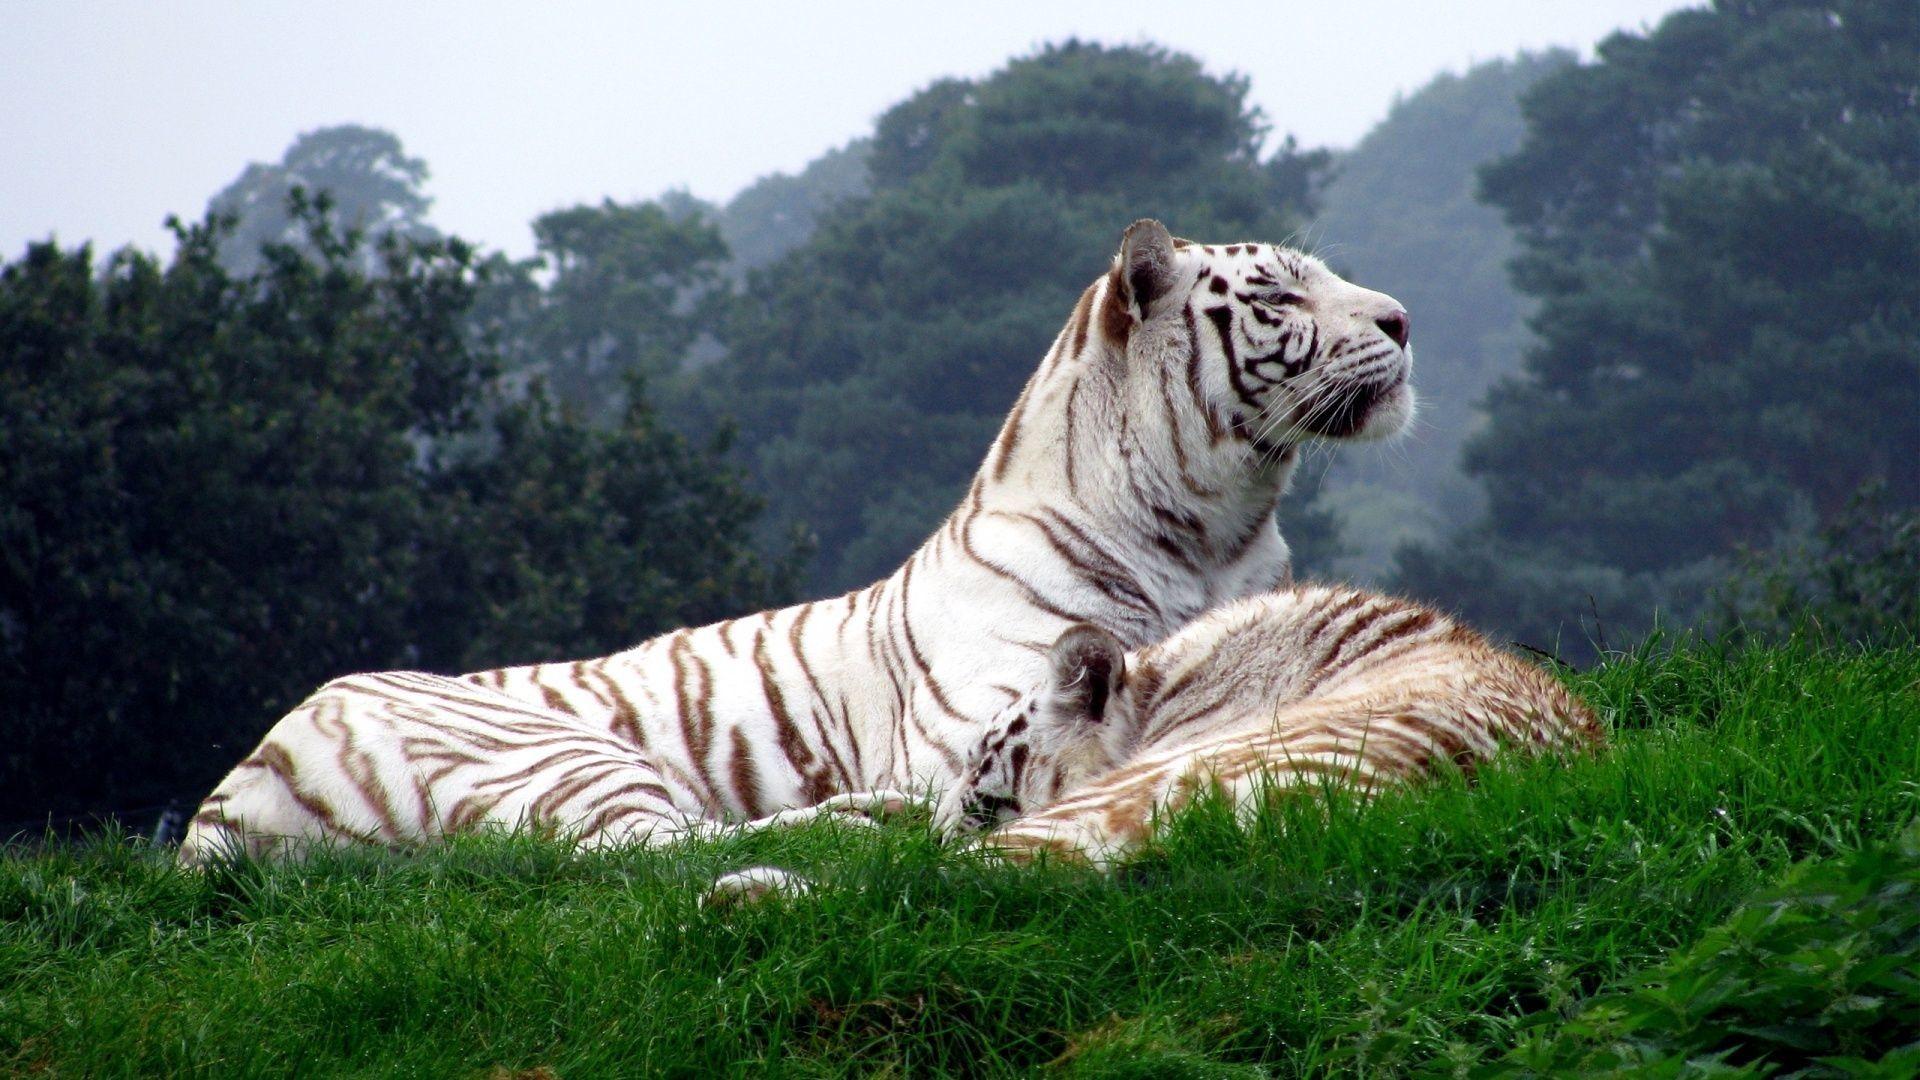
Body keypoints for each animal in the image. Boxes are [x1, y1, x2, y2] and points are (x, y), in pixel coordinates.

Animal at [180, 219, 1417, 864]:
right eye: (1277, 294)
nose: (1404, 319)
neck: (1218, 528)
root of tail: (224, 798)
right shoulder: (982, 719)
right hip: (553, 751)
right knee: (641, 850)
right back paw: (858, 820)